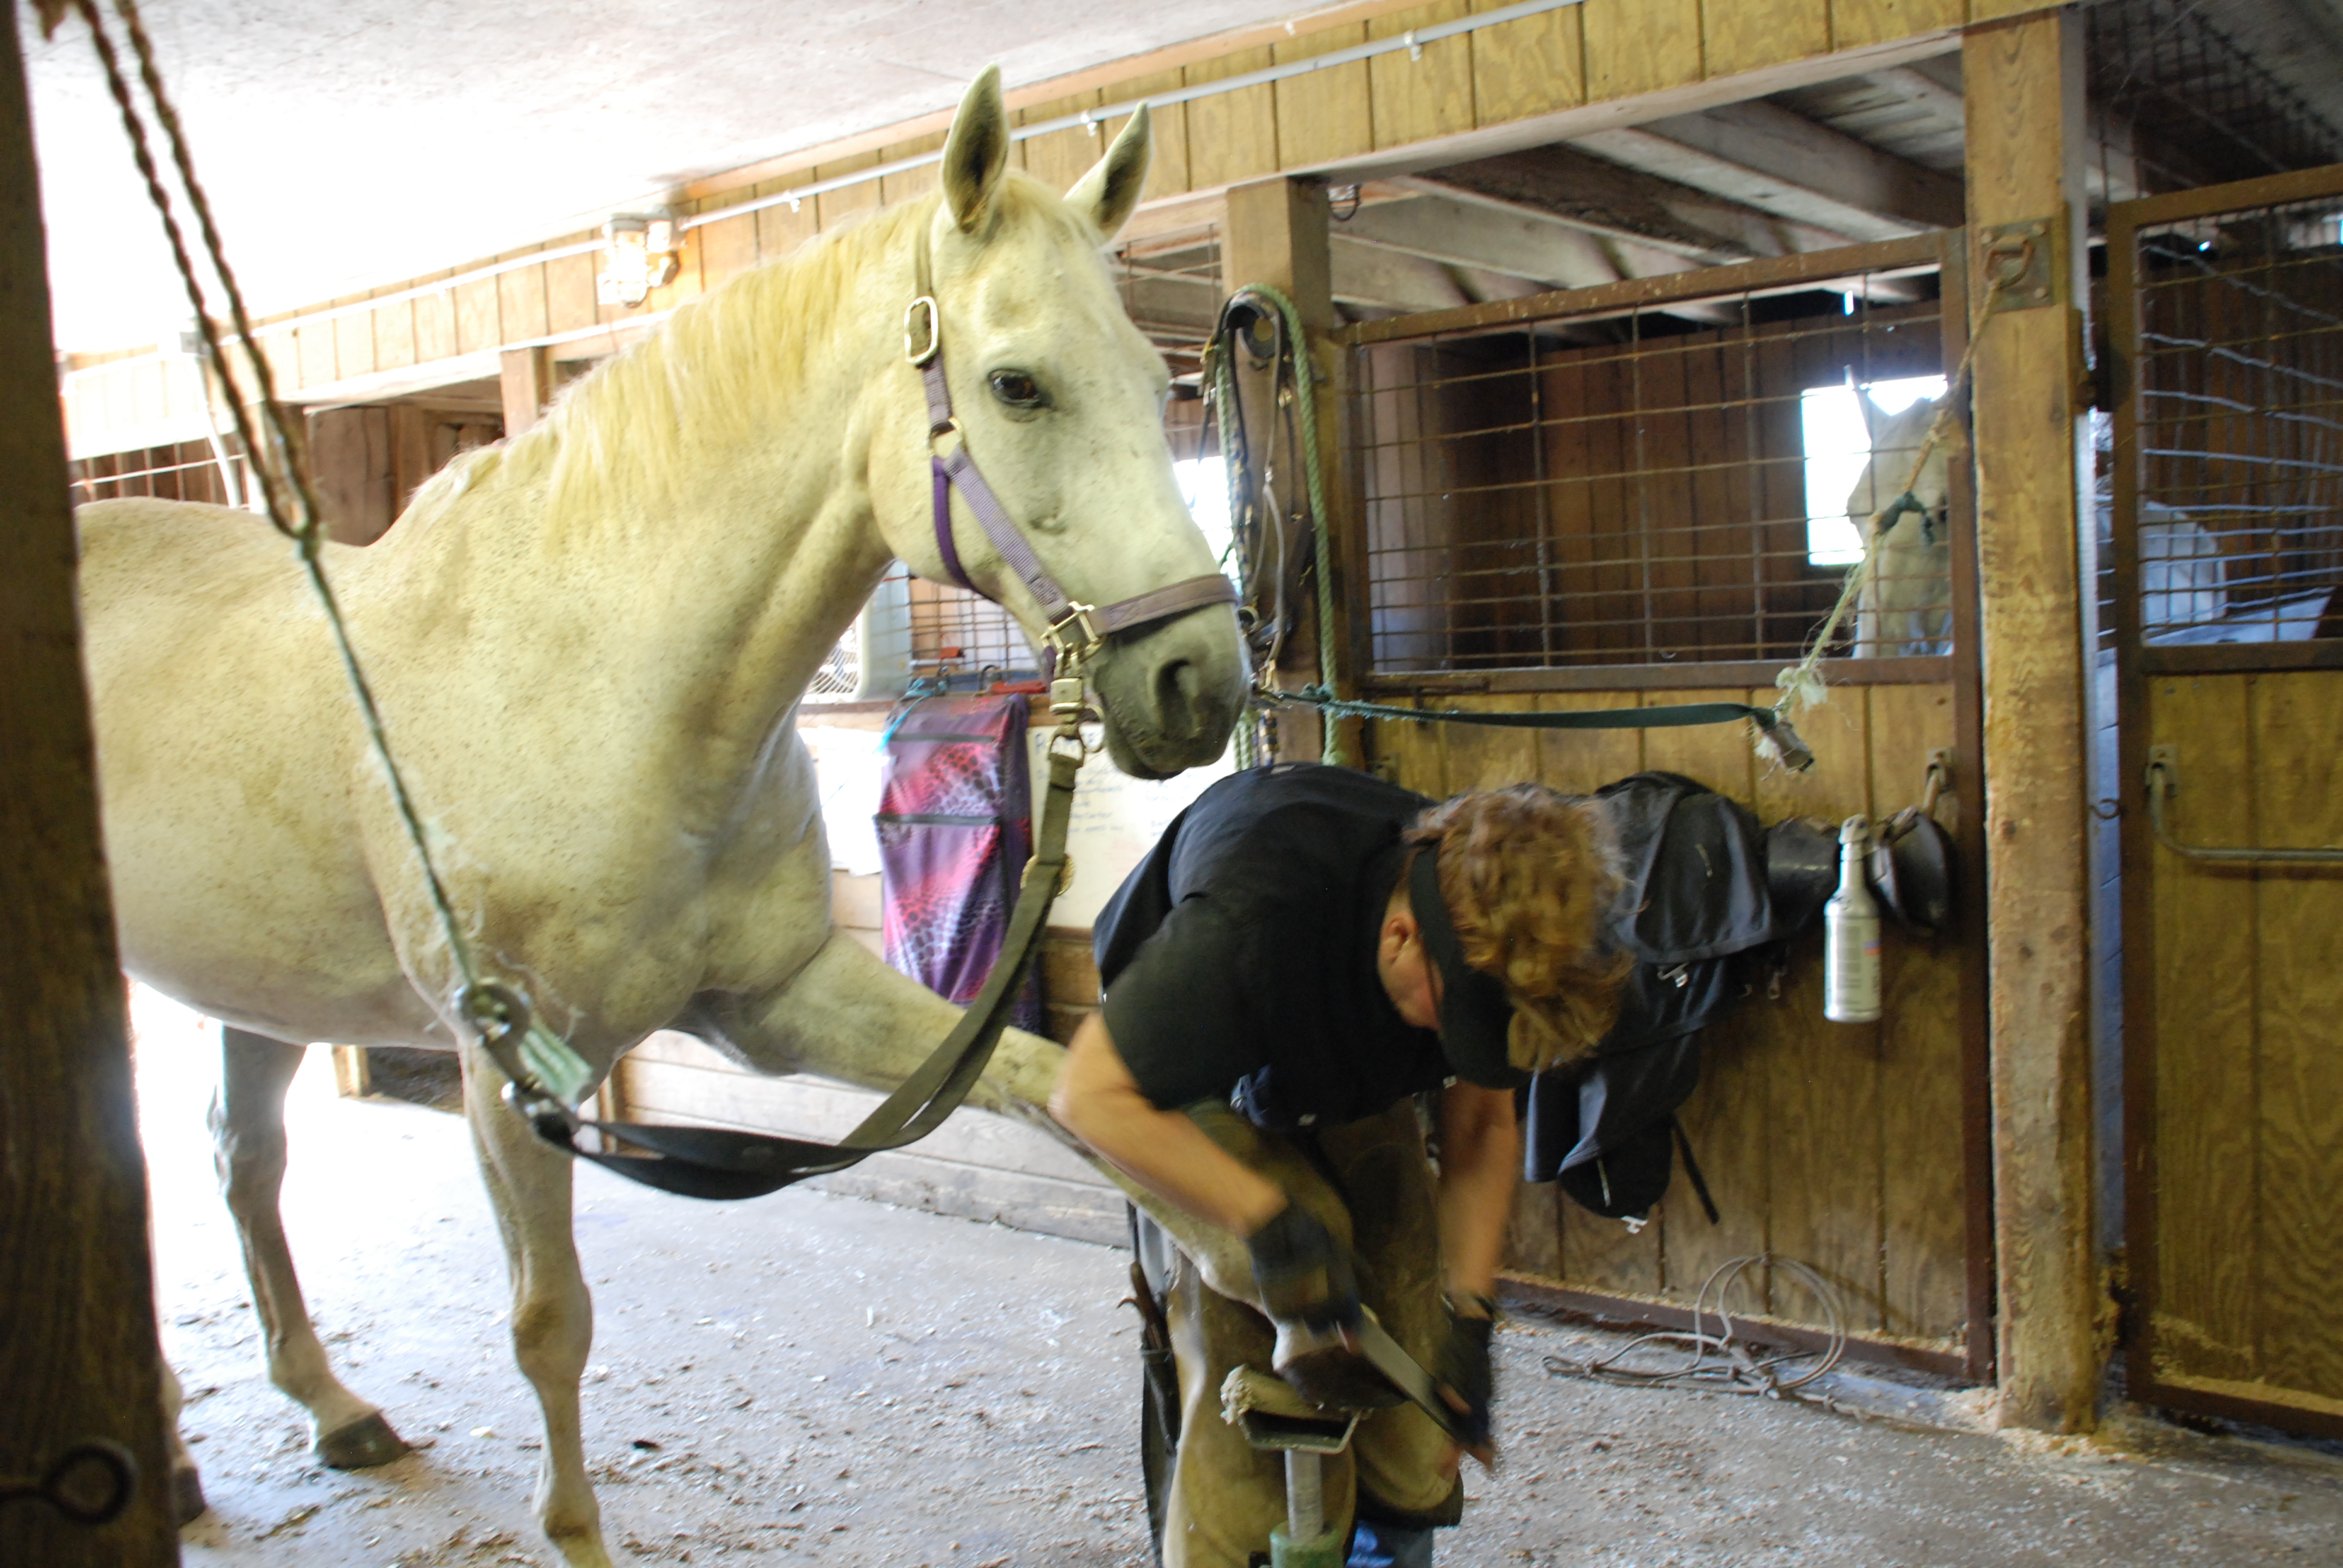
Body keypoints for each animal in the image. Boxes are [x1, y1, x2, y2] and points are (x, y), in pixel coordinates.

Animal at [76, 69, 1243, 1568]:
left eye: (1159, 384)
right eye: (1016, 384)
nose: (1201, 682)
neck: (599, 679)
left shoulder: (775, 998)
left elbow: (1044, 1084)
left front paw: (1263, 1259)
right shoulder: (514, 1075)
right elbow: (549, 1326)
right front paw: (573, 1532)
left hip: (255, 984)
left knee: (241, 1163)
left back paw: (330, 1409)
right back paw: (166, 1452)